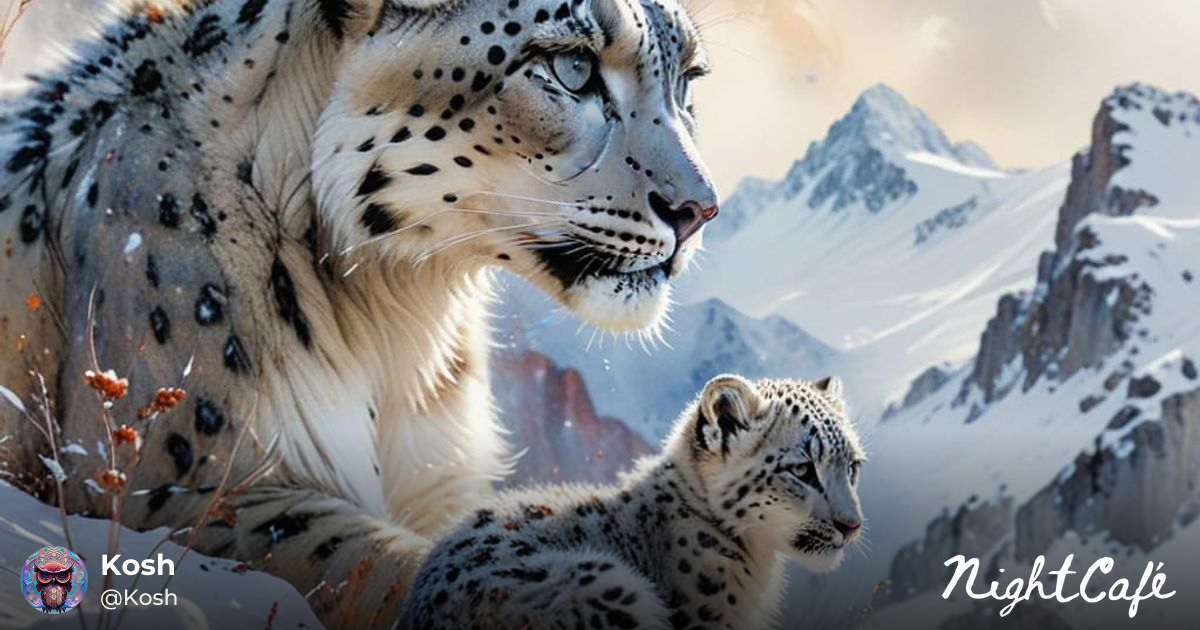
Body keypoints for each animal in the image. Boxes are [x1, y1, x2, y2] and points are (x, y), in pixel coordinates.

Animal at [0, 0, 718, 625]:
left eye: (688, 79)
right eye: (572, 66)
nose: (698, 210)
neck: (399, 326)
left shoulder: (440, 482)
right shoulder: (169, 484)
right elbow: (355, 552)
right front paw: (588, 596)